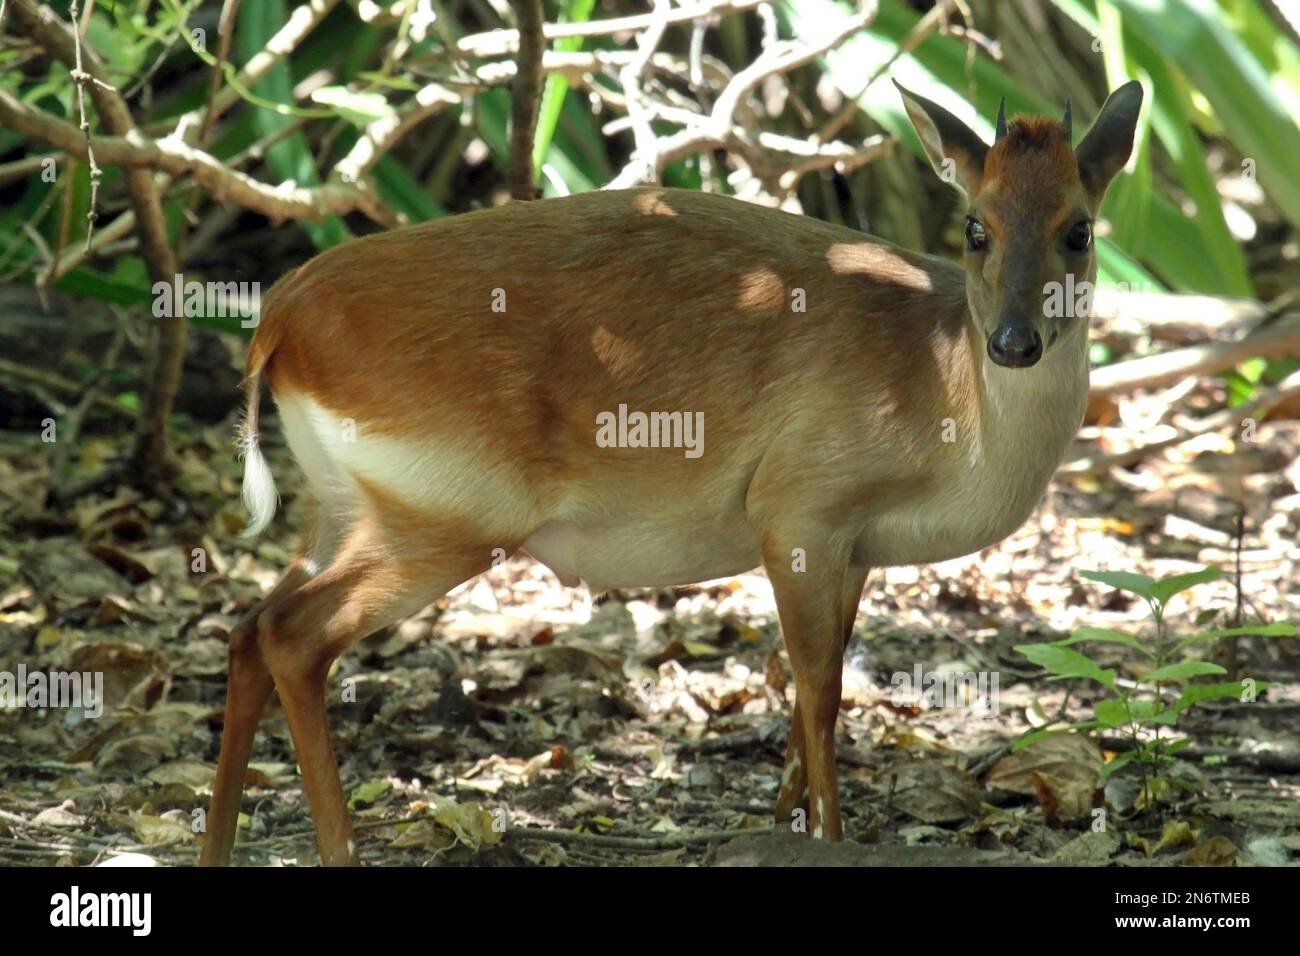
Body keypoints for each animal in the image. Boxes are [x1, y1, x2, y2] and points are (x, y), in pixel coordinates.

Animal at [201, 80, 1143, 864]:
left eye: (1080, 228)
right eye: (977, 227)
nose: (1014, 342)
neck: (941, 395)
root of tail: (279, 318)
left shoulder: (857, 547)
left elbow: (815, 680)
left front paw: (781, 821)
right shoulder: (797, 505)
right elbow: (818, 685)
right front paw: (830, 837)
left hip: (344, 506)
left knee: (248, 627)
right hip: (447, 513)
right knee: (292, 634)